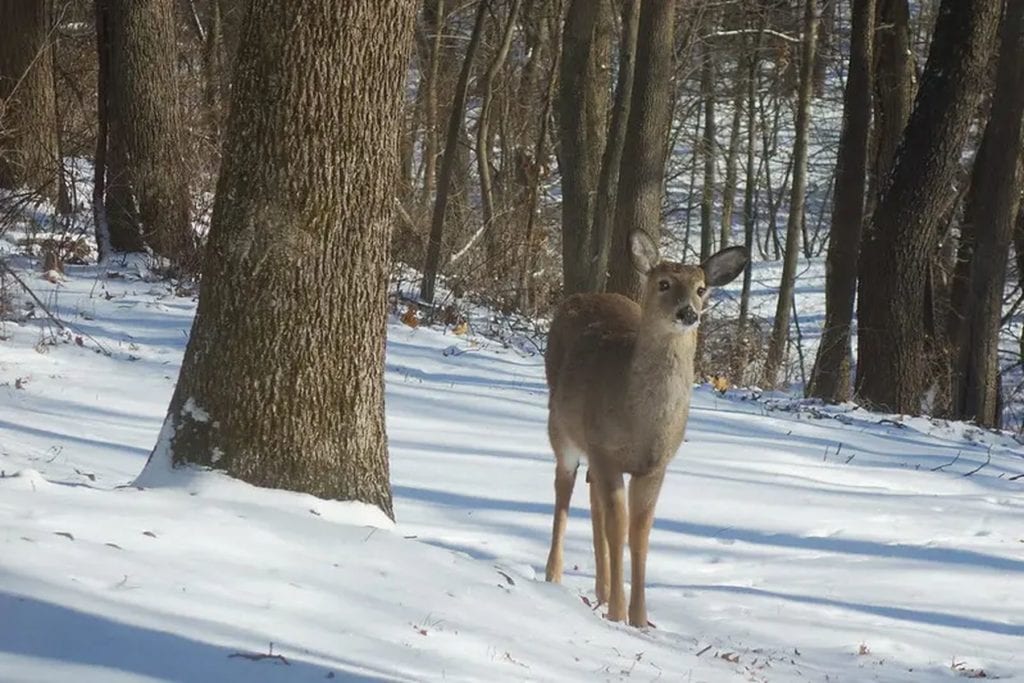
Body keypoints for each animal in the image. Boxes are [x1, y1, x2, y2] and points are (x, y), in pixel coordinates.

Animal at [543, 230, 747, 627]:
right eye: (663, 283)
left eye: (701, 288)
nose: (689, 313)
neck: (641, 423)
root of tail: (580, 296)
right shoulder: (606, 451)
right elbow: (619, 526)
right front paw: (619, 613)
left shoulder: (654, 466)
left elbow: (639, 532)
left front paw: (638, 619)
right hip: (561, 426)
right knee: (564, 488)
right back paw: (554, 575)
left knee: (592, 498)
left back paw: (602, 590)